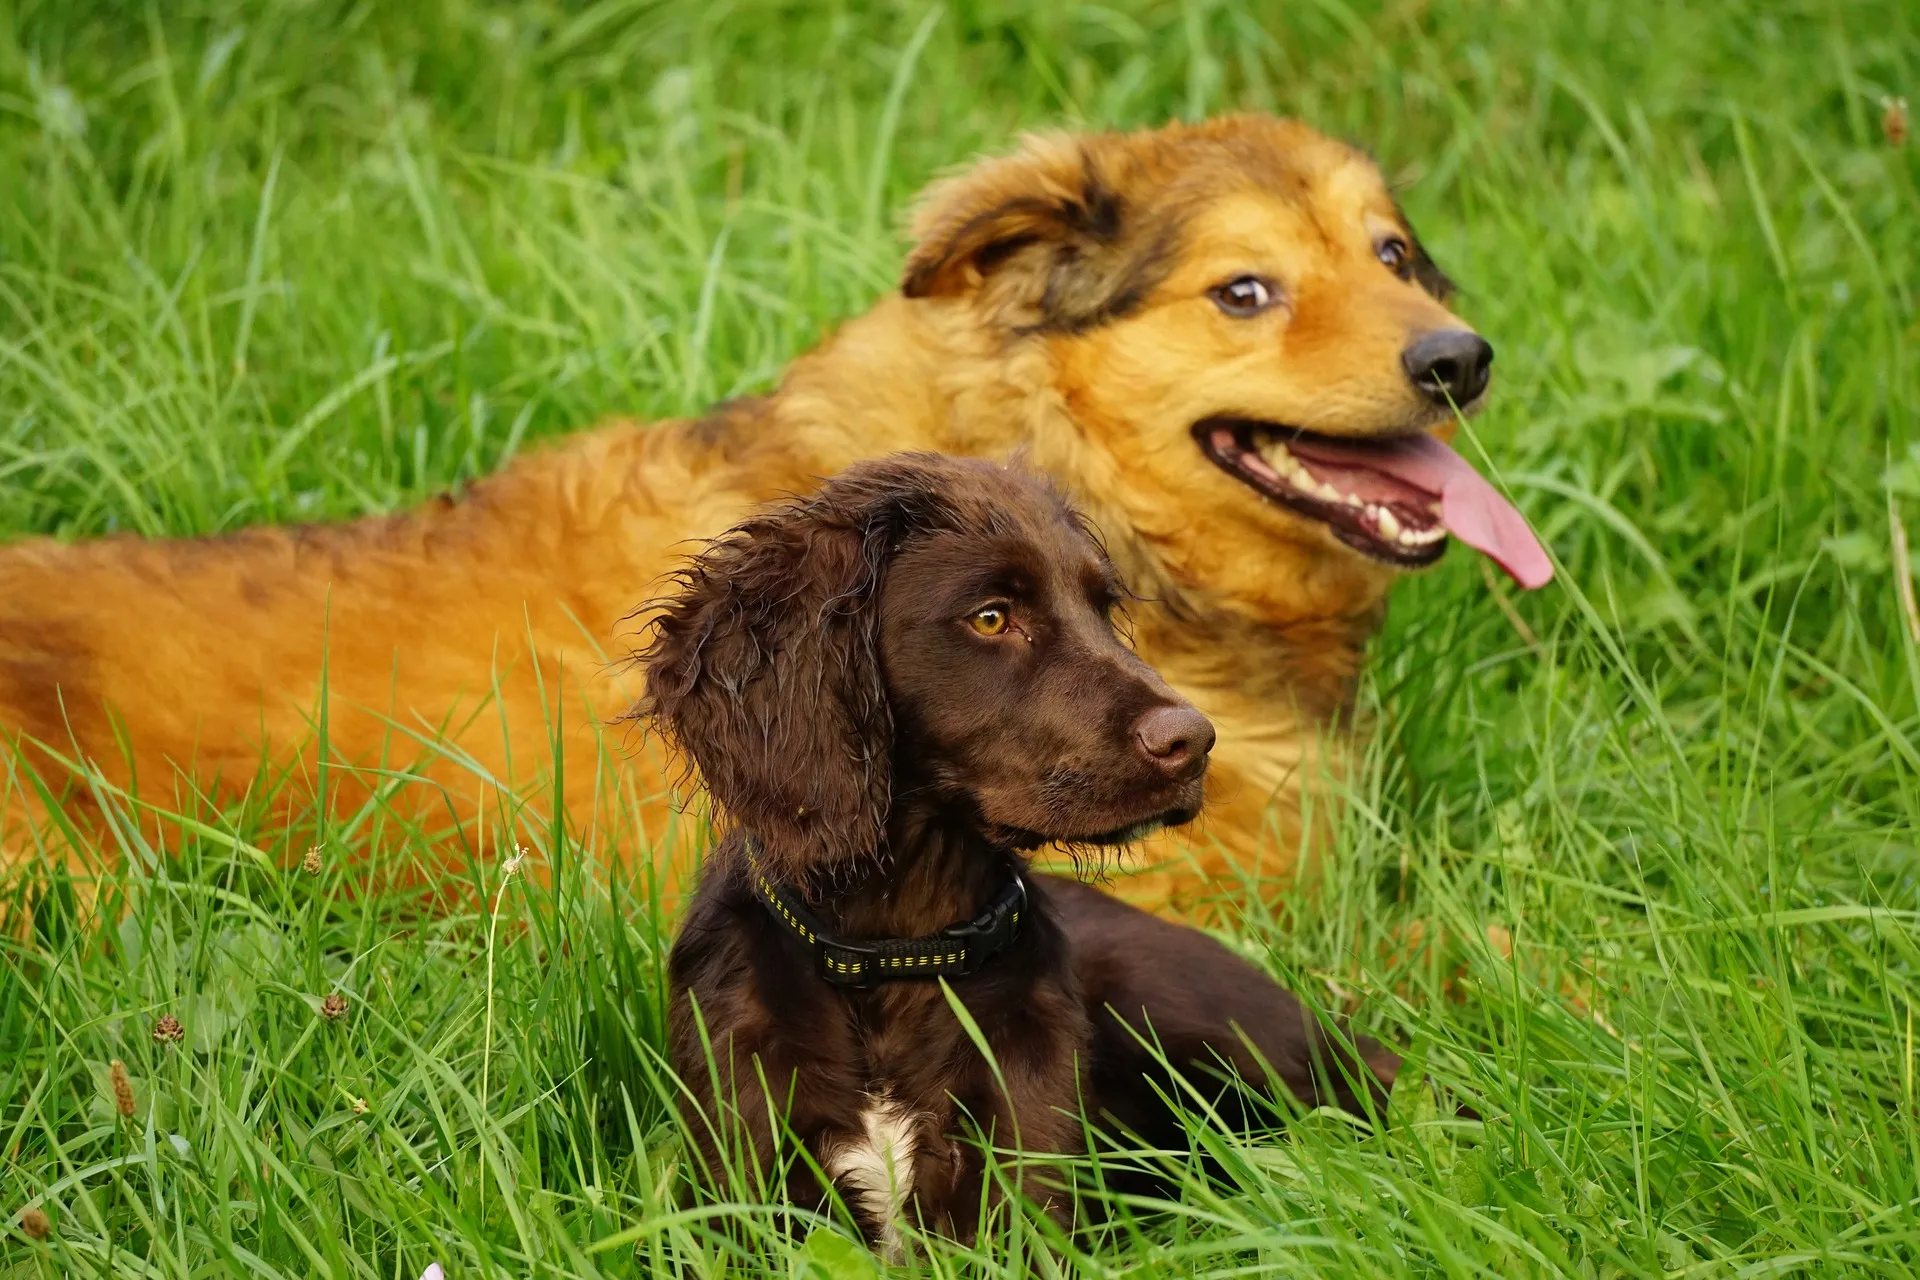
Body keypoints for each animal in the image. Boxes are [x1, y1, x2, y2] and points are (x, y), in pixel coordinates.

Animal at [652, 452, 1390, 1251]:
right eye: (991, 617)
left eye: (1104, 609)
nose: (1194, 743)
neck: (898, 951)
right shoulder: (738, 1192)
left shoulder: (1025, 1199)